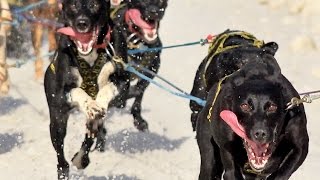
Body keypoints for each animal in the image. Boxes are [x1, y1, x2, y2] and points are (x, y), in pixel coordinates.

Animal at [44, 0, 129, 179]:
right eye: (74, 5)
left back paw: (81, 157)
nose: (82, 23)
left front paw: (98, 103)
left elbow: (107, 87)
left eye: (94, 5)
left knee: (90, 134)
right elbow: (77, 91)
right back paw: (64, 169)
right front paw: (90, 104)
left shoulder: (123, 85)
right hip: (57, 121)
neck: (90, 56)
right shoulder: (61, 93)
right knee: (61, 156)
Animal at [110, 0, 169, 131]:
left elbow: (139, 89)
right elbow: (125, 85)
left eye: (161, 1)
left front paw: (138, 118)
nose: (154, 11)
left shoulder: (153, 68)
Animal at [189, 30, 308, 179]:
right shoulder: (227, 152)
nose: (260, 133)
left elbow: (285, 169)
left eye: (272, 107)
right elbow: (231, 171)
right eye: (245, 106)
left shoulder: (300, 145)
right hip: (208, 154)